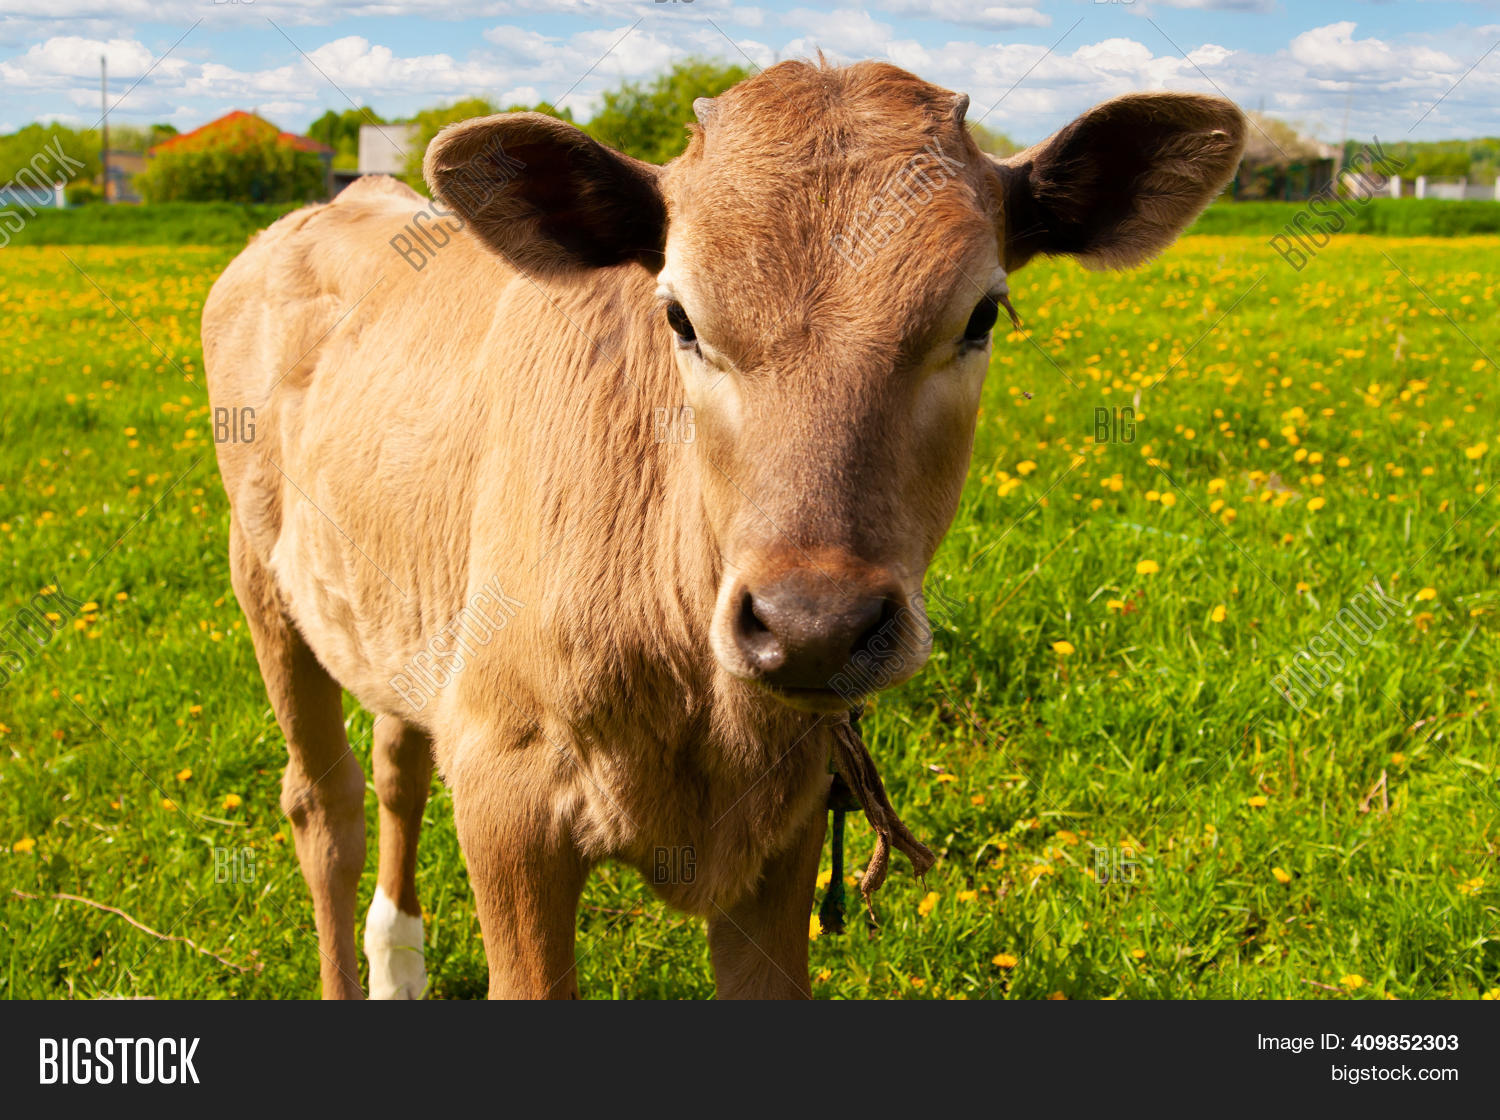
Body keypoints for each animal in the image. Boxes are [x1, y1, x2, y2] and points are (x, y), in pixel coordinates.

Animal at [202, 59, 1244, 999]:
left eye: (982, 314)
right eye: (680, 316)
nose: (813, 625)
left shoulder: (785, 833)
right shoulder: (510, 798)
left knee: (397, 759)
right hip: (261, 576)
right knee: (324, 805)